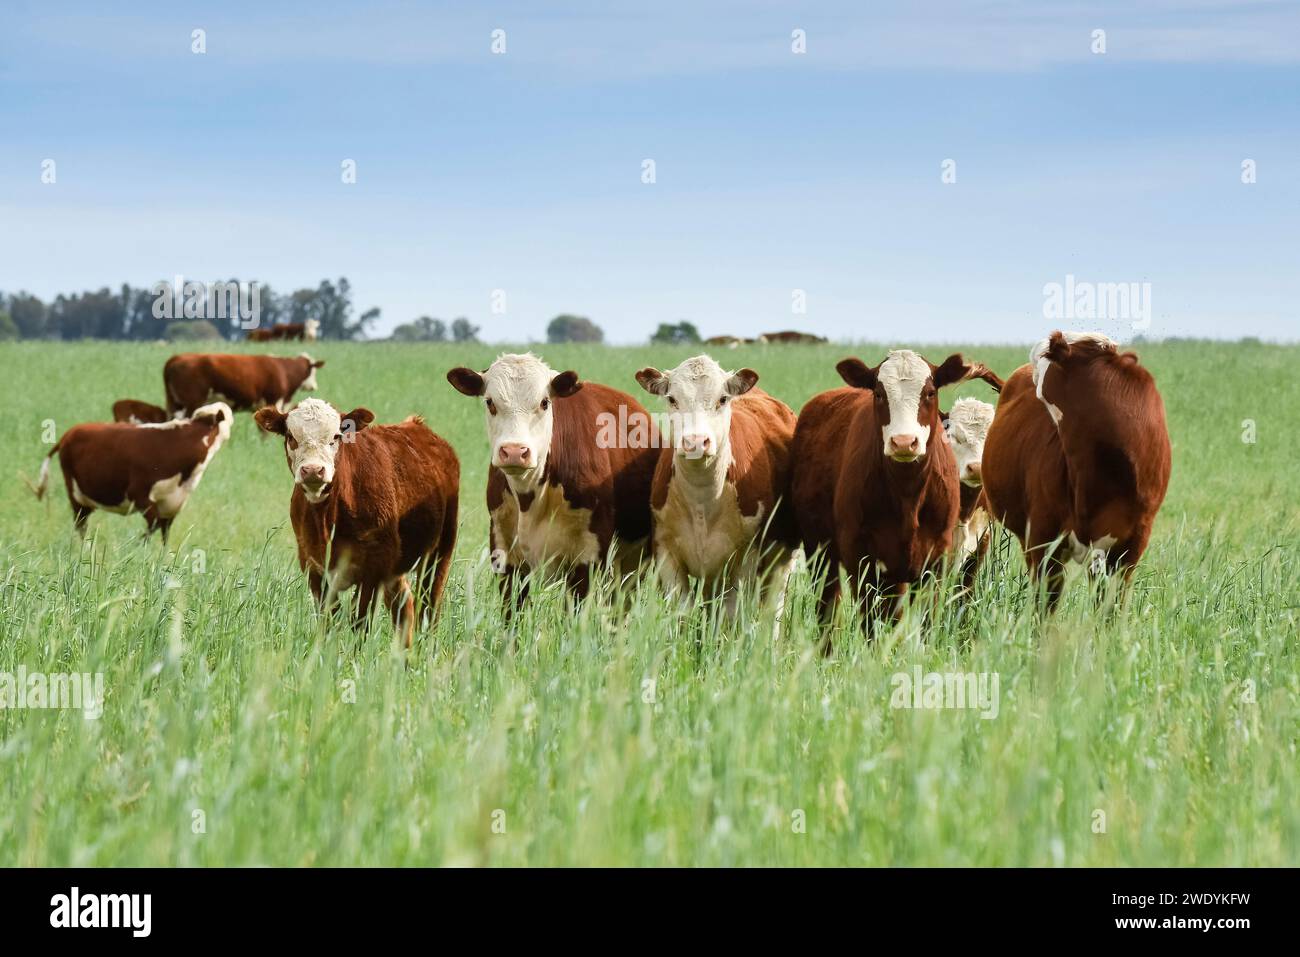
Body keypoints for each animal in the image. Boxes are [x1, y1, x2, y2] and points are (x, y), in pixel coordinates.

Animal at [27, 403, 233, 541]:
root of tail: (70, 432)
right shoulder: (140, 496)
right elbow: (151, 529)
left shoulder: (173, 504)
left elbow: (164, 535)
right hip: (76, 495)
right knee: (81, 525)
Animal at [164, 352, 324, 417]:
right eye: (312, 371)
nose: (314, 386)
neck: (283, 370)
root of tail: (177, 357)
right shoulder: (275, 400)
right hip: (192, 404)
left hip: (176, 403)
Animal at [254, 398, 460, 647]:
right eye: (291, 436)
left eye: (335, 436)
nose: (313, 470)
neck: (328, 519)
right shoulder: (313, 565)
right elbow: (328, 622)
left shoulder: (373, 567)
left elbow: (360, 623)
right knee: (404, 606)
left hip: (439, 552)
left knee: (429, 608)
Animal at [634, 355, 798, 613]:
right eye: (672, 399)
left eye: (722, 399)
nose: (695, 442)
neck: (702, 501)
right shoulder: (666, 554)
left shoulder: (746, 557)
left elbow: (731, 612)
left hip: (782, 560)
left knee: (774, 606)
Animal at [790, 350, 1001, 630]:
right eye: (879, 393)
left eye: (930, 392)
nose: (903, 442)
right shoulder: (862, 561)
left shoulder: (946, 561)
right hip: (822, 554)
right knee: (829, 610)